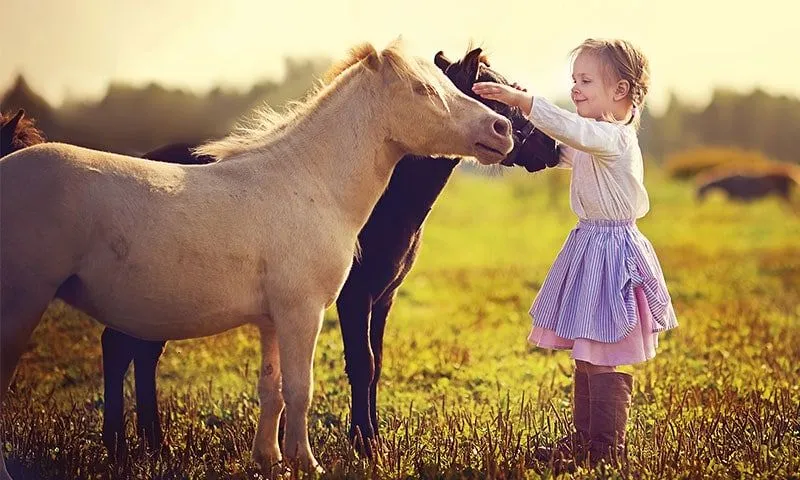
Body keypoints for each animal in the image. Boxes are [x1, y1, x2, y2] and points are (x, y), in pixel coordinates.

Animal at [0, 41, 512, 476]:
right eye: (424, 89)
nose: (502, 129)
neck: (310, 183)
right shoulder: (304, 312)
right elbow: (301, 389)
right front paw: (307, 463)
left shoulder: (272, 320)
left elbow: (272, 390)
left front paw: (269, 460)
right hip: (24, 305)